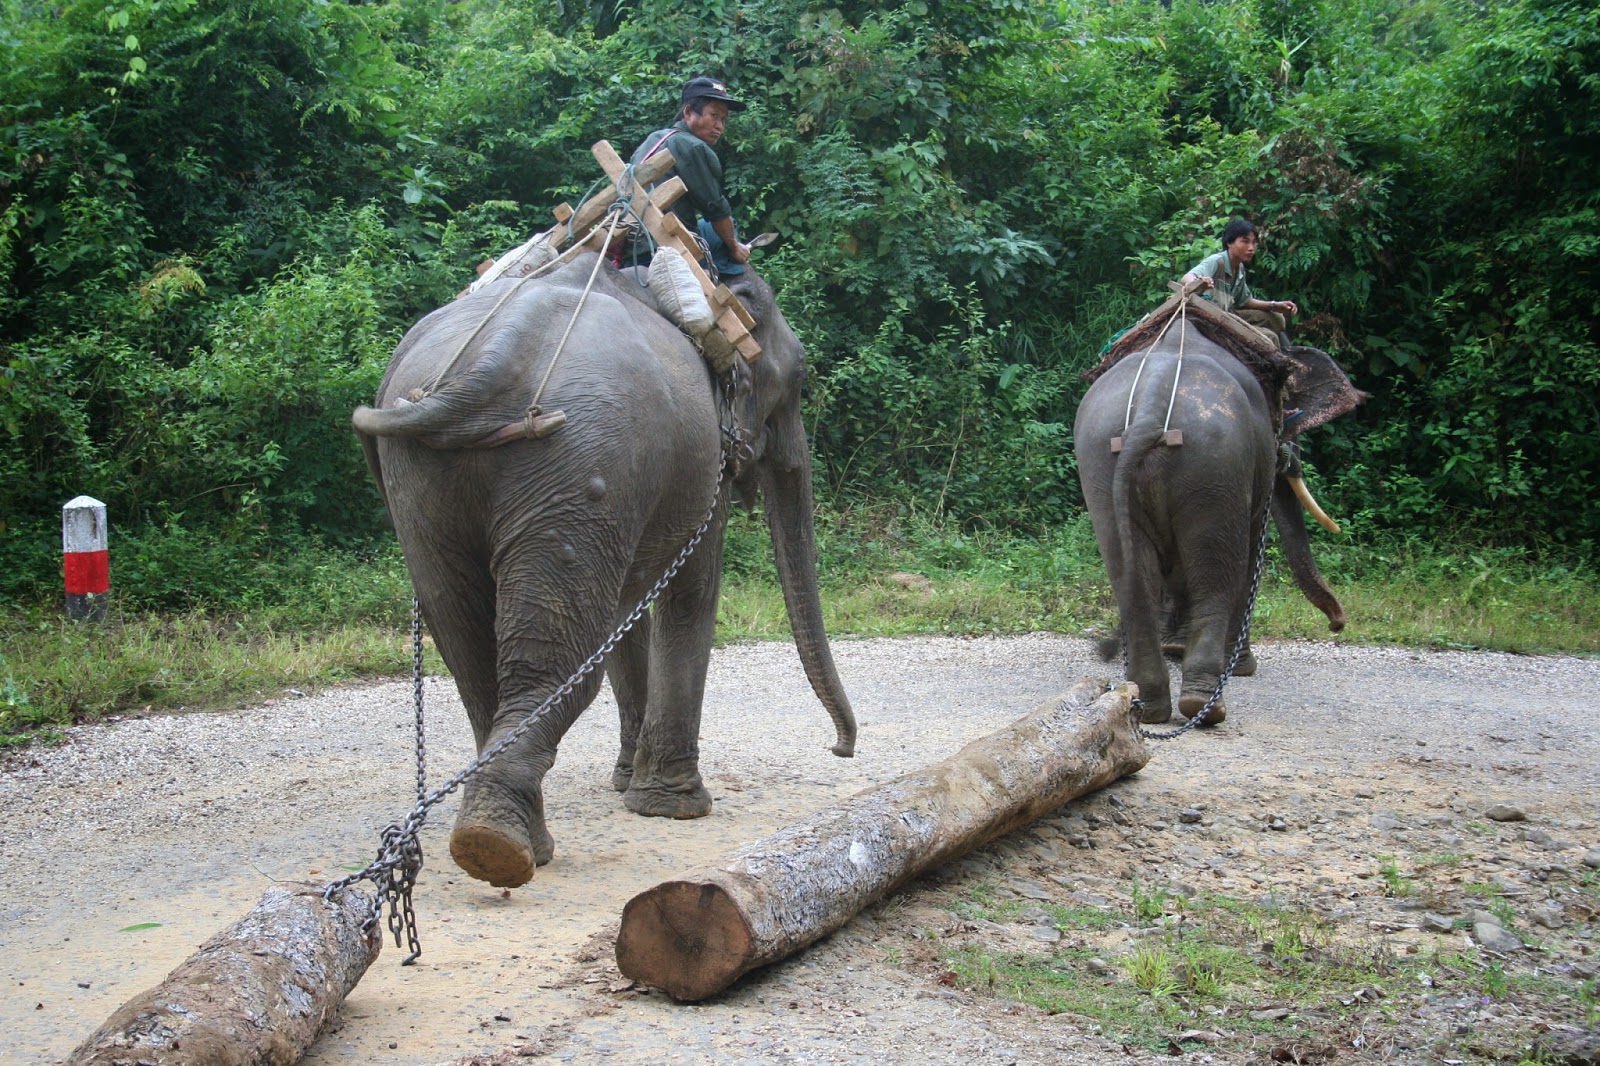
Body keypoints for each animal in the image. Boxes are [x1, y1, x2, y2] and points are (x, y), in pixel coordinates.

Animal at [352, 253, 857, 888]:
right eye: (800, 376)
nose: (841, 750)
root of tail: (492, 354)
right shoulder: (704, 462)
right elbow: (689, 592)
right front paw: (676, 808)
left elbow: (626, 612)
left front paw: (627, 785)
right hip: (581, 462)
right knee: (559, 664)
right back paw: (499, 847)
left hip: (428, 484)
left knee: (469, 650)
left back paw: (503, 843)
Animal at [1074, 316, 1364, 724]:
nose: (1337, 625)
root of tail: (1150, 405)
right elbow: (1252, 553)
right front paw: (1241, 667)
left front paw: (1174, 646)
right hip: (1214, 465)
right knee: (1218, 573)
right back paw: (1205, 705)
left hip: (1100, 463)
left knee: (1130, 575)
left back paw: (1150, 706)